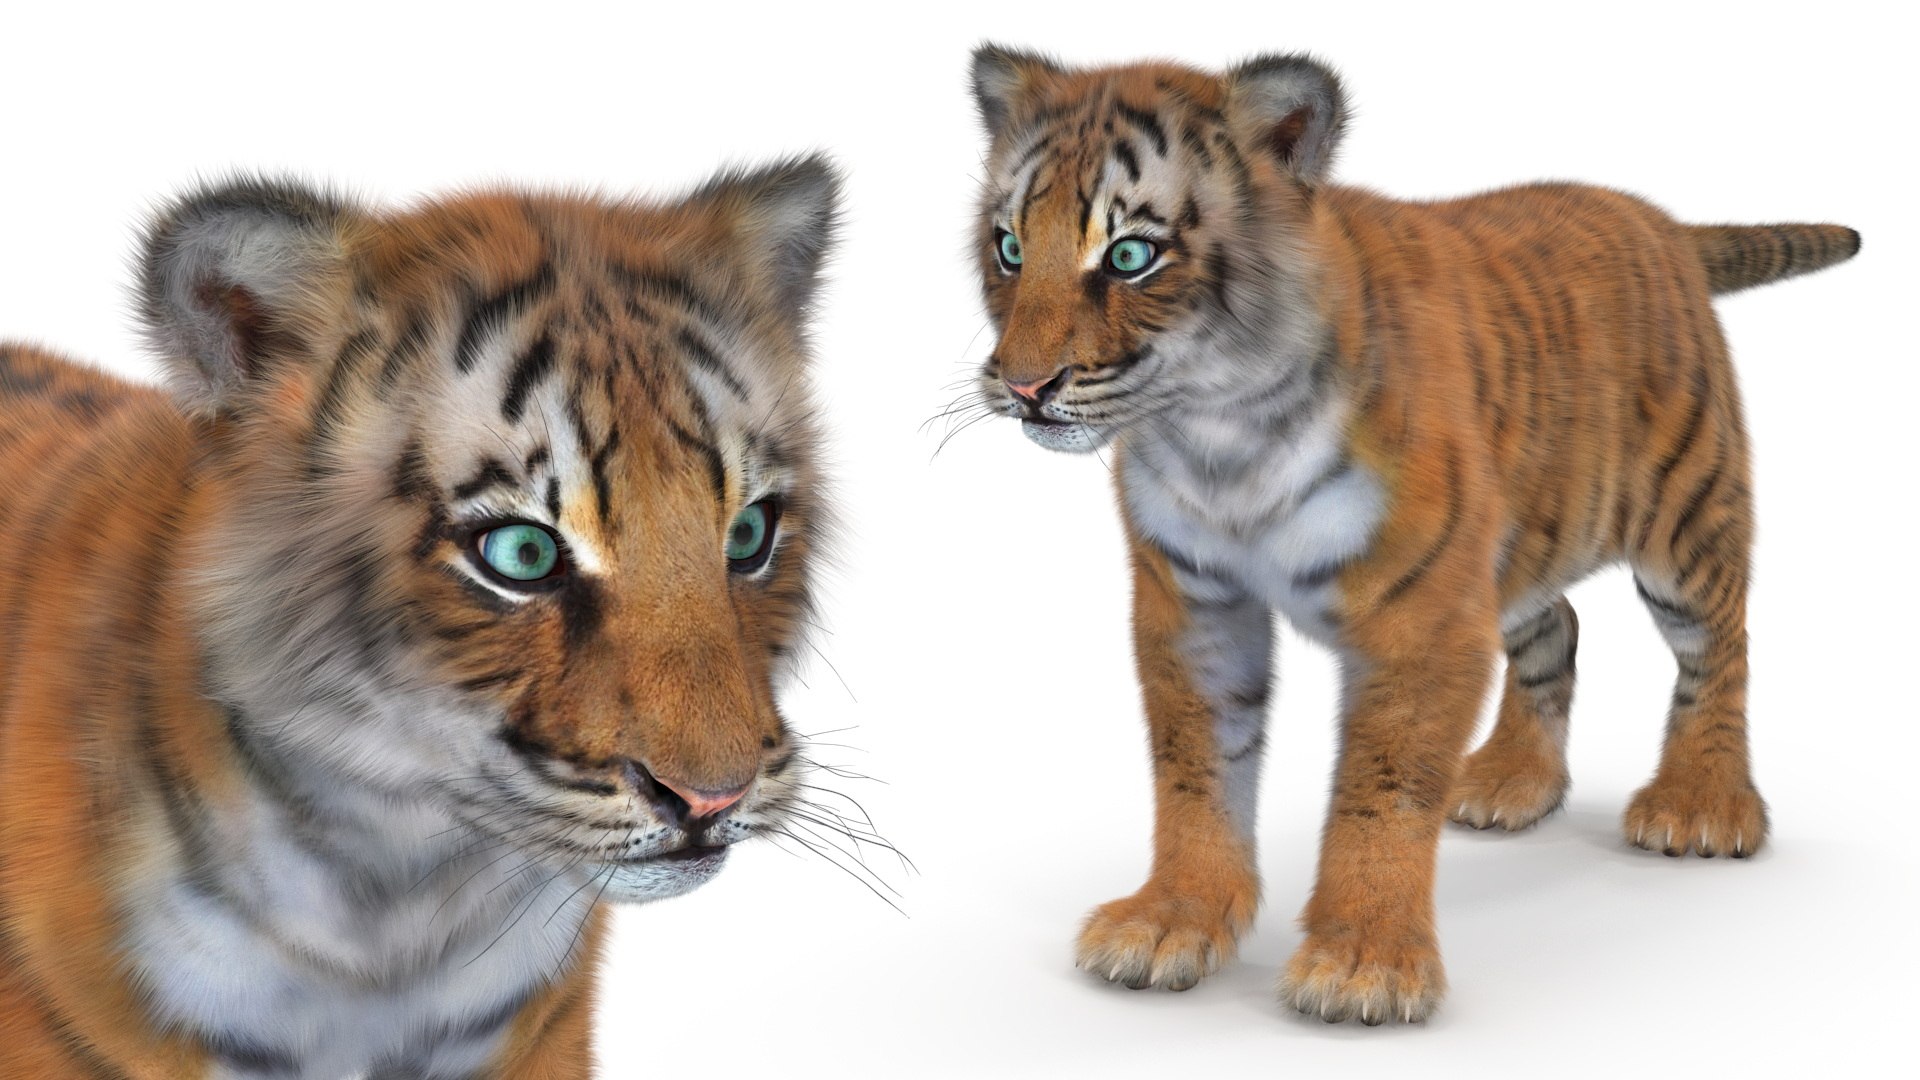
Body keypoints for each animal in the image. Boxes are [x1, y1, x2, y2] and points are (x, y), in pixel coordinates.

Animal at [966, 44, 1859, 1024]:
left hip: (1684, 520)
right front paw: (1172, 921)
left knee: (1720, 647)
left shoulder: (1421, 619)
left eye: (1129, 255)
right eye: (1010, 248)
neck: (1222, 435)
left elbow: (1381, 790)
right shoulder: (1194, 607)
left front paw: (1363, 964)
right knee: (1557, 626)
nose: (1022, 386)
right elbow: (1194, 771)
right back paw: (1509, 780)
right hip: (1520, 542)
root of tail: (1658, 218)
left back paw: (1703, 803)